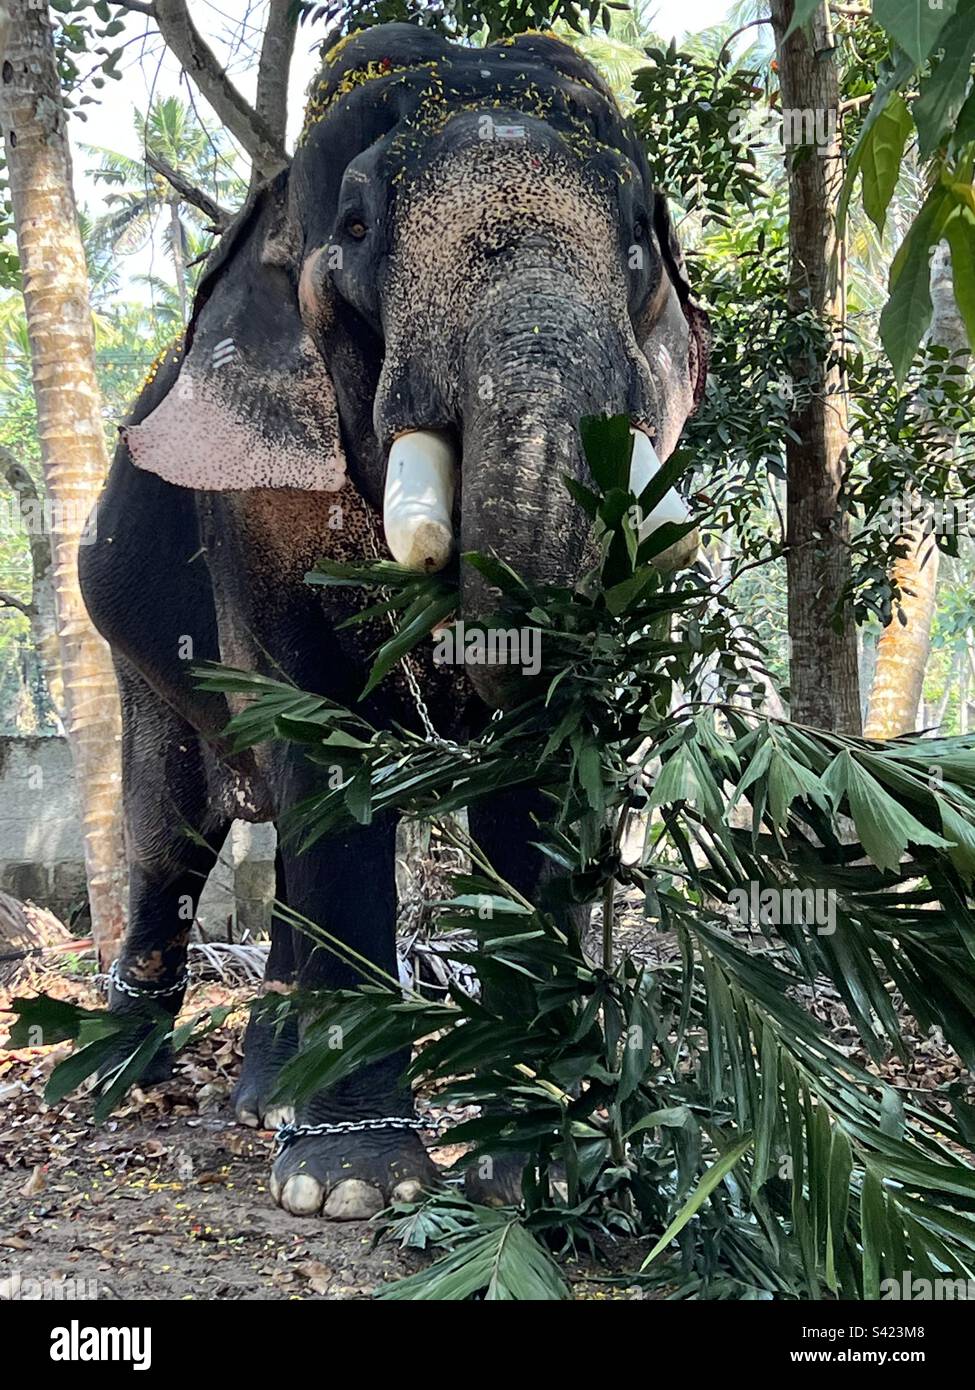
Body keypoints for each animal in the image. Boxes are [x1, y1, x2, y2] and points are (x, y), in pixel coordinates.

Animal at [78, 22, 709, 1221]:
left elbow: (534, 779)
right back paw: (107, 1087)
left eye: (638, 240)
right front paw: (351, 1188)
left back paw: (261, 1103)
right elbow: (326, 743)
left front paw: (533, 1170)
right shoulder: (259, 501)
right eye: (361, 228)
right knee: (172, 831)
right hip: (136, 660)